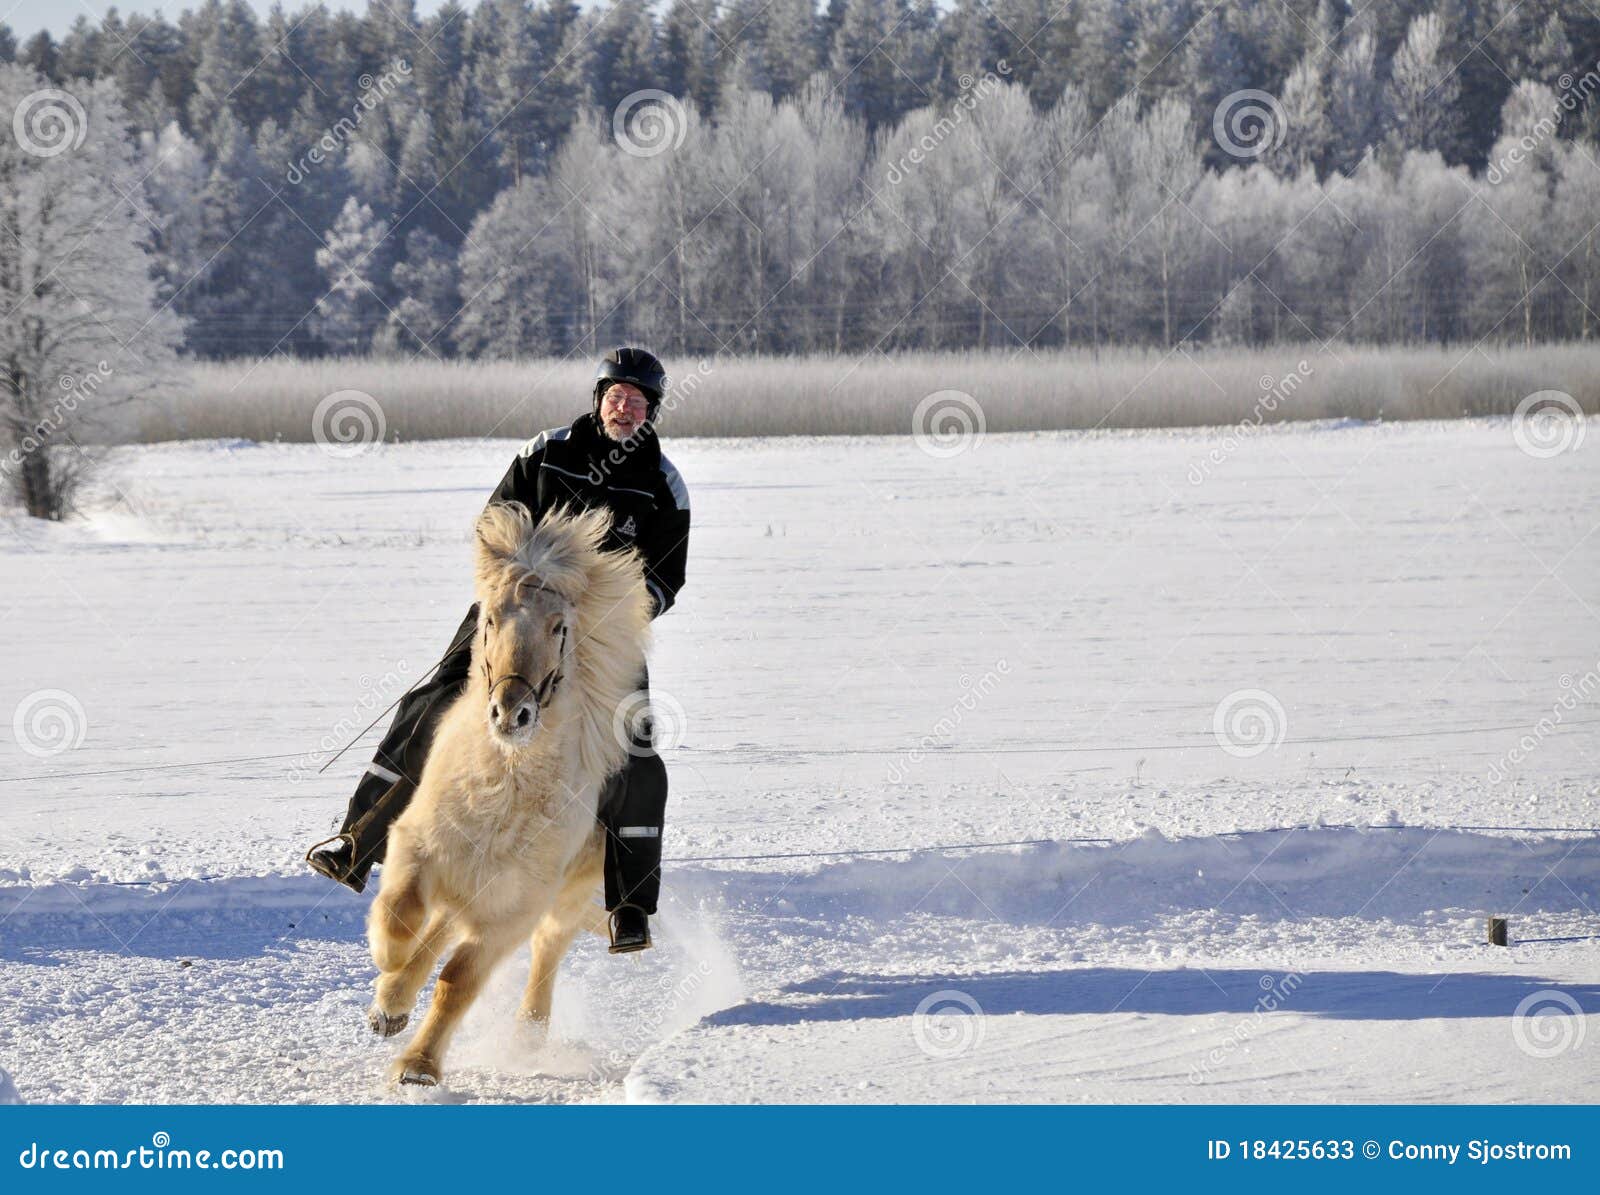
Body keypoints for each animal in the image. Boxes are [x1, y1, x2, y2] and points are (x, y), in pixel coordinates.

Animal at [364, 501, 653, 1086]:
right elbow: (401, 911)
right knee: (440, 923)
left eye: (560, 626)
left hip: (562, 896)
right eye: (491, 619)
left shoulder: (516, 907)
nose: (510, 712)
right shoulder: (417, 846)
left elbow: (459, 980)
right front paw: (387, 977)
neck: (501, 789)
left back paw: (526, 1036)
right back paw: (392, 1001)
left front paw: (418, 1068)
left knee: (543, 952)